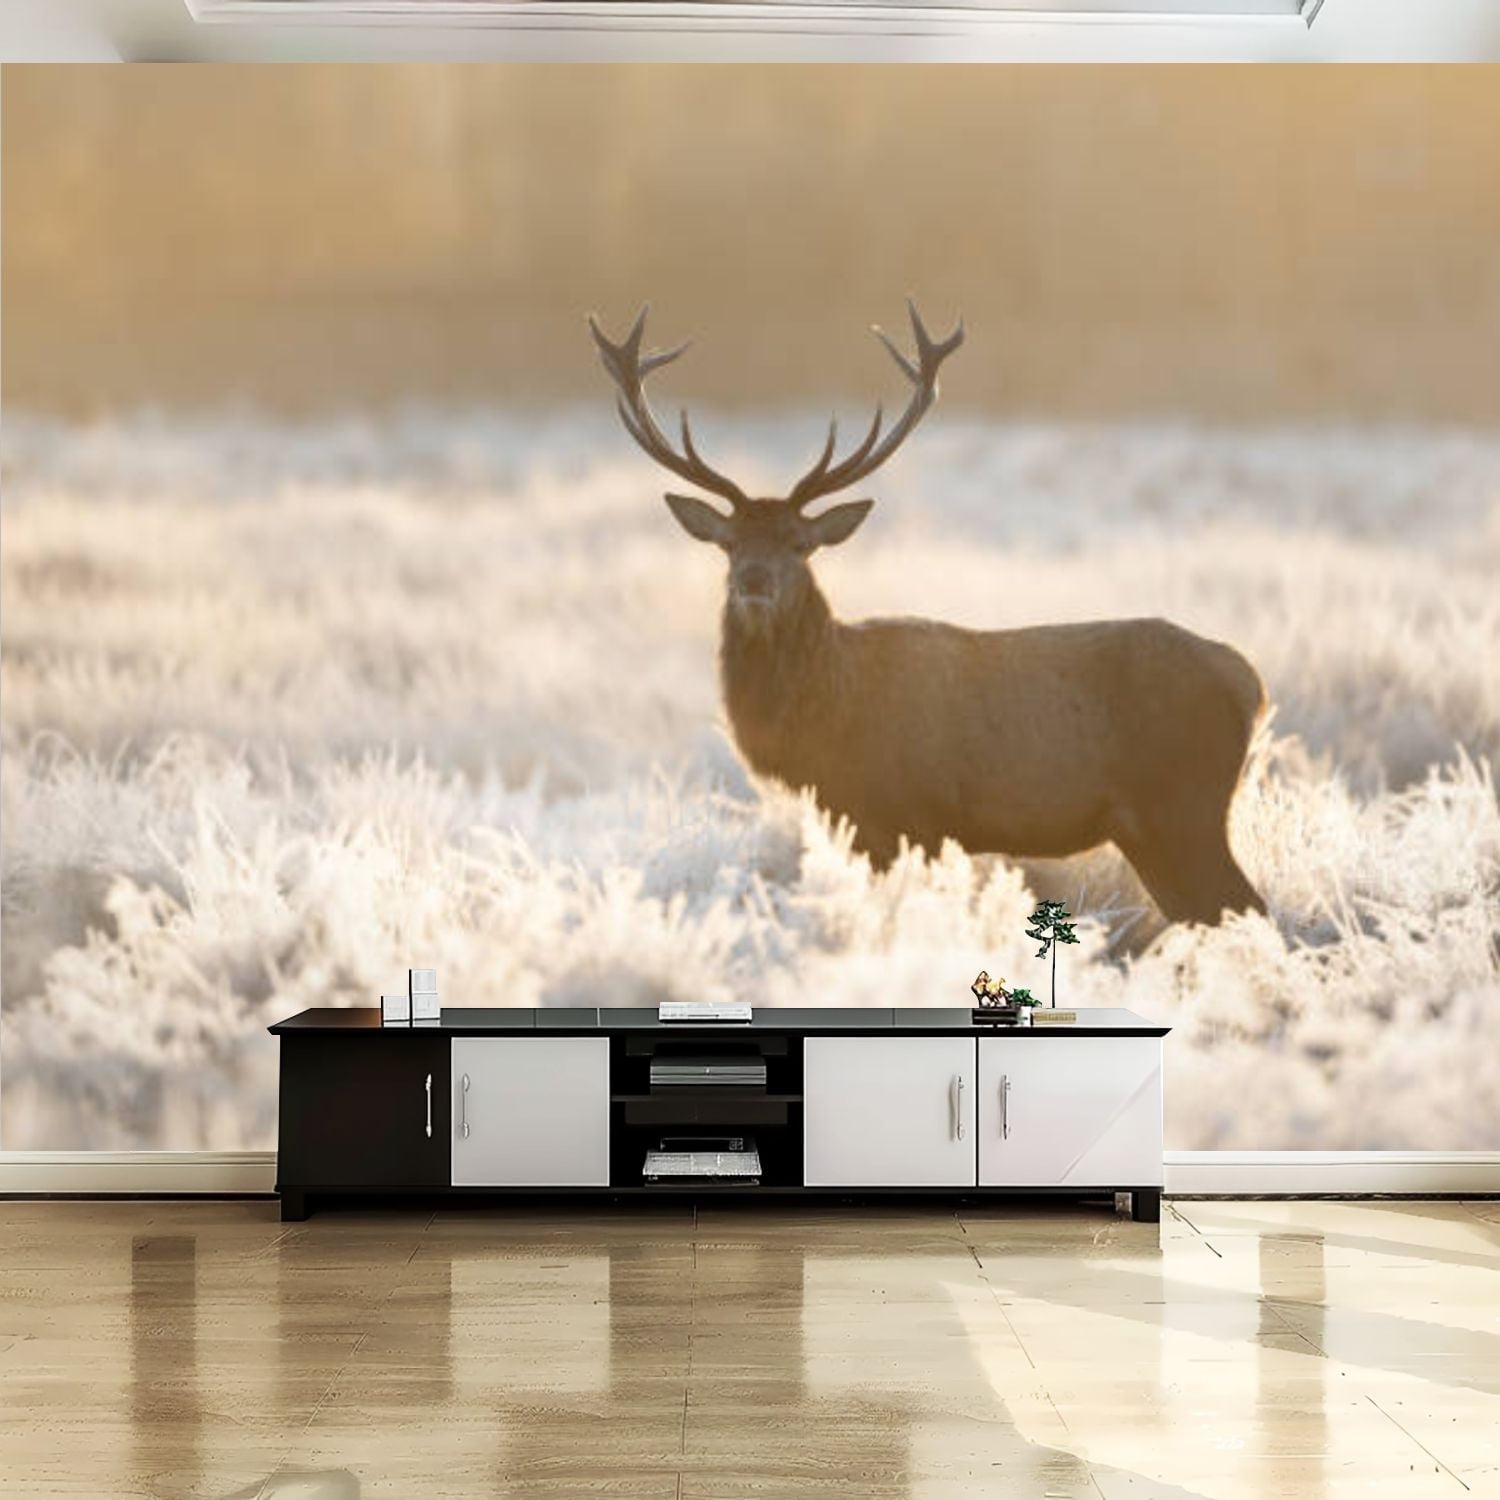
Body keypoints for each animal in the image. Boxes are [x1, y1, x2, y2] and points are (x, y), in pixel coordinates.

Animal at [588, 303, 1267, 927]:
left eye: (799, 543)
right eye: (728, 544)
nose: (754, 580)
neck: (828, 714)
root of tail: (1248, 682)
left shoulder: (911, 815)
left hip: (1185, 806)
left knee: (1247, 906)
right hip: (1152, 827)